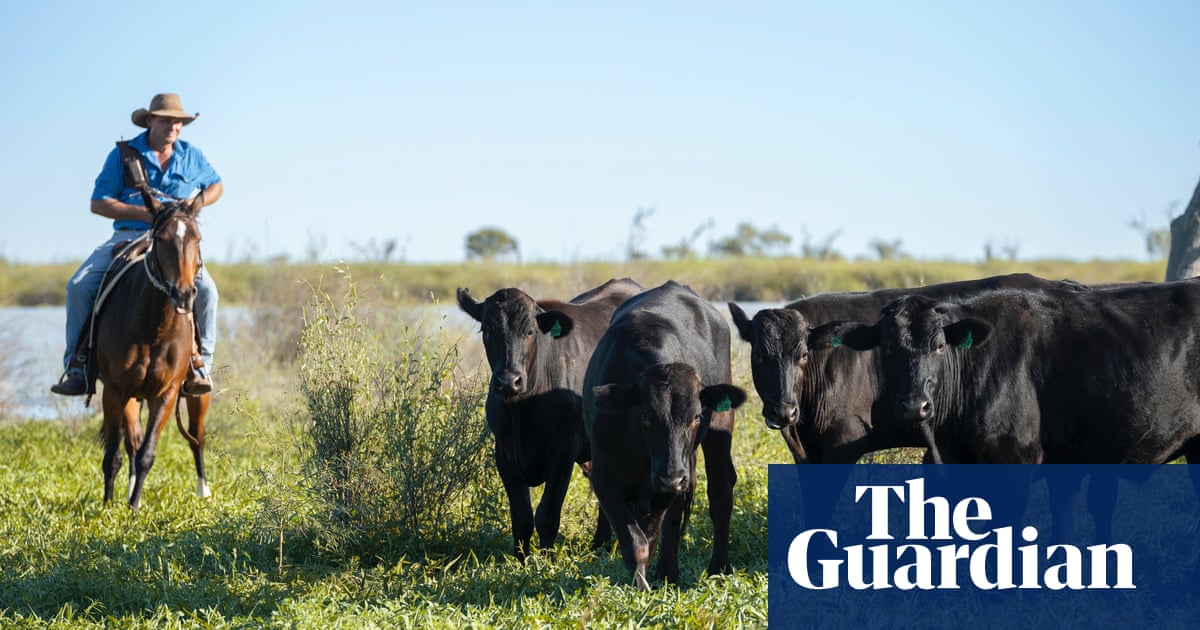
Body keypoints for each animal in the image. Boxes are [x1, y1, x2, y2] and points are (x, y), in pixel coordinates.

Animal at [457, 277, 643, 558]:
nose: (508, 381)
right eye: (487, 331)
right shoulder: (504, 454)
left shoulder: (564, 450)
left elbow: (546, 515)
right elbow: (521, 517)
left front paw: (544, 560)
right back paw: (599, 547)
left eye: (530, 331)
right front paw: (521, 561)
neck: (522, 410)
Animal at [583, 280, 747, 590]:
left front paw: (643, 583)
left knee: (720, 491)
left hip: (718, 432)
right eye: (646, 416)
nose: (672, 477)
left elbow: (649, 536)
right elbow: (635, 538)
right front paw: (640, 582)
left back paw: (715, 567)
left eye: (696, 417)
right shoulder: (604, 473)